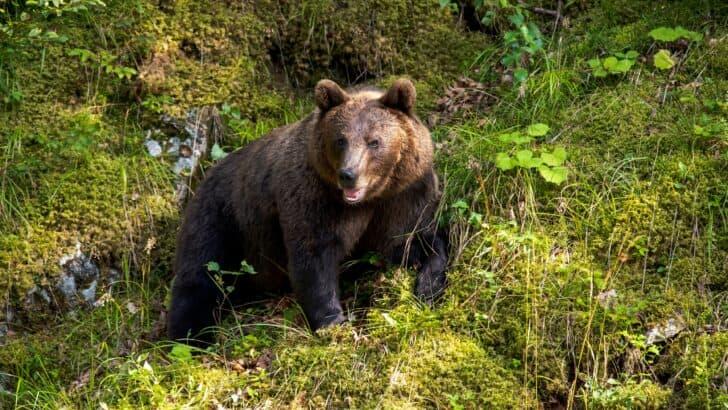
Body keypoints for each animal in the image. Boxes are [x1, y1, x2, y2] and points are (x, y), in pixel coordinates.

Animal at [167, 78, 449, 344]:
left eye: (374, 141)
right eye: (340, 139)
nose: (348, 174)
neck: (370, 198)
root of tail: (205, 176)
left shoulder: (405, 196)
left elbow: (412, 241)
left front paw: (427, 286)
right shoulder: (316, 198)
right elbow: (314, 257)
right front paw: (333, 322)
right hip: (221, 219)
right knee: (200, 276)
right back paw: (190, 336)